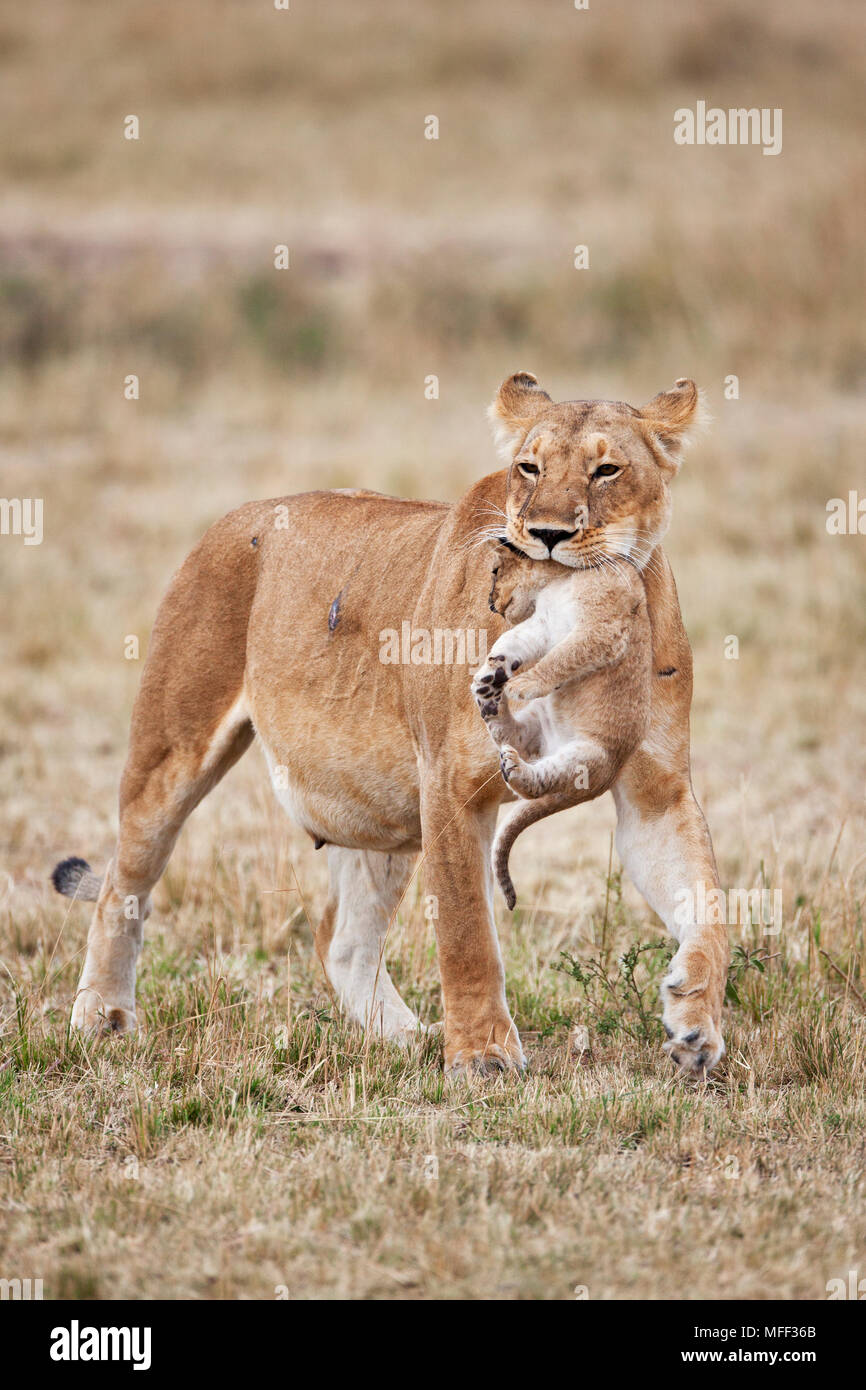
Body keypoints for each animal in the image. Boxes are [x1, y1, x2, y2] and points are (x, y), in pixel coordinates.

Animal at [472, 538, 652, 911]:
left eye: (495, 571)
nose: (491, 604)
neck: (558, 582)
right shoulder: (542, 623)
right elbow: (511, 642)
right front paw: (491, 671)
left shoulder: (602, 627)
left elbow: (563, 658)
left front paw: (520, 684)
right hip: (536, 723)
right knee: (513, 735)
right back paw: (489, 700)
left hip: (588, 756)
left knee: (539, 782)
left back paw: (515, 769)